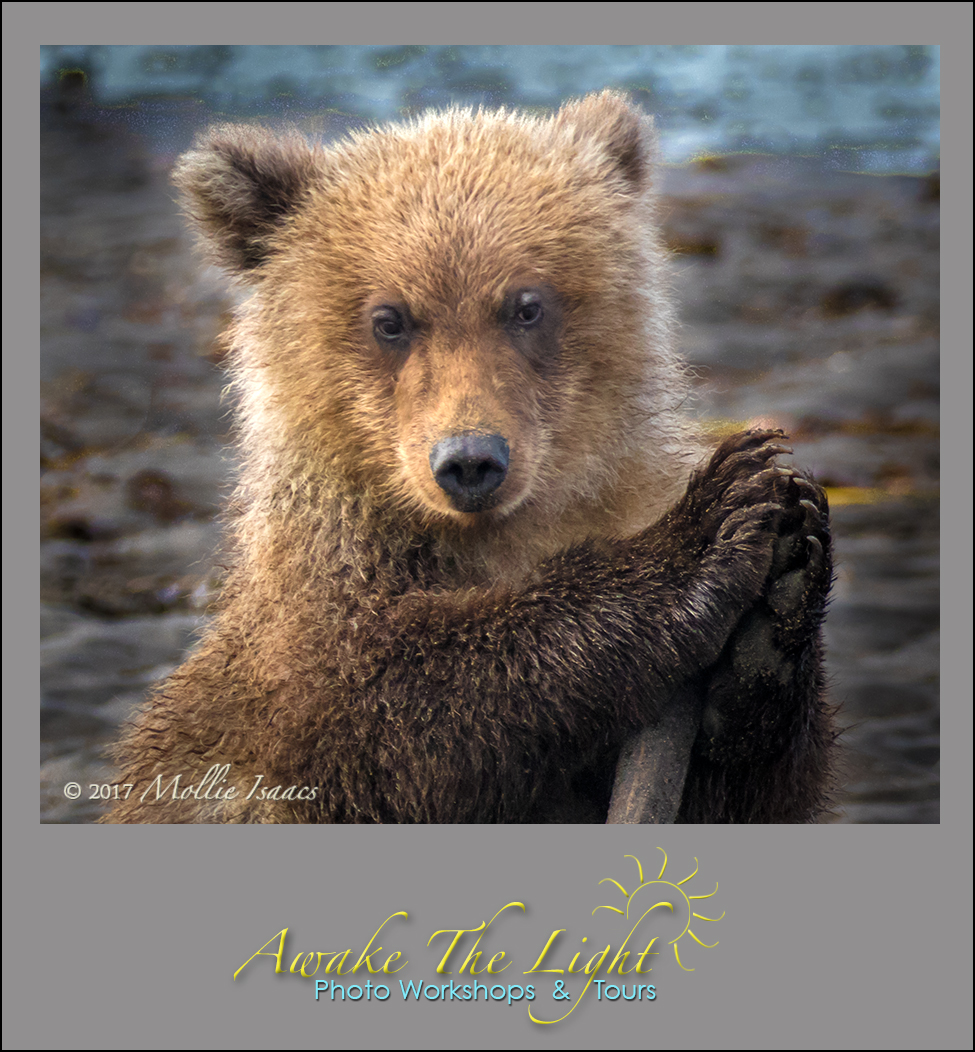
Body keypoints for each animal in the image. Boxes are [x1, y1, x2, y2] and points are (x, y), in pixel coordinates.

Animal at [104, 92, 834, 824]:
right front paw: (709, 527)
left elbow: (734, 795)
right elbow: (396, 703)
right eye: (389, 318)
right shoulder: (307, 644)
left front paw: (774, 610)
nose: (470, 461)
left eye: (526, 306)